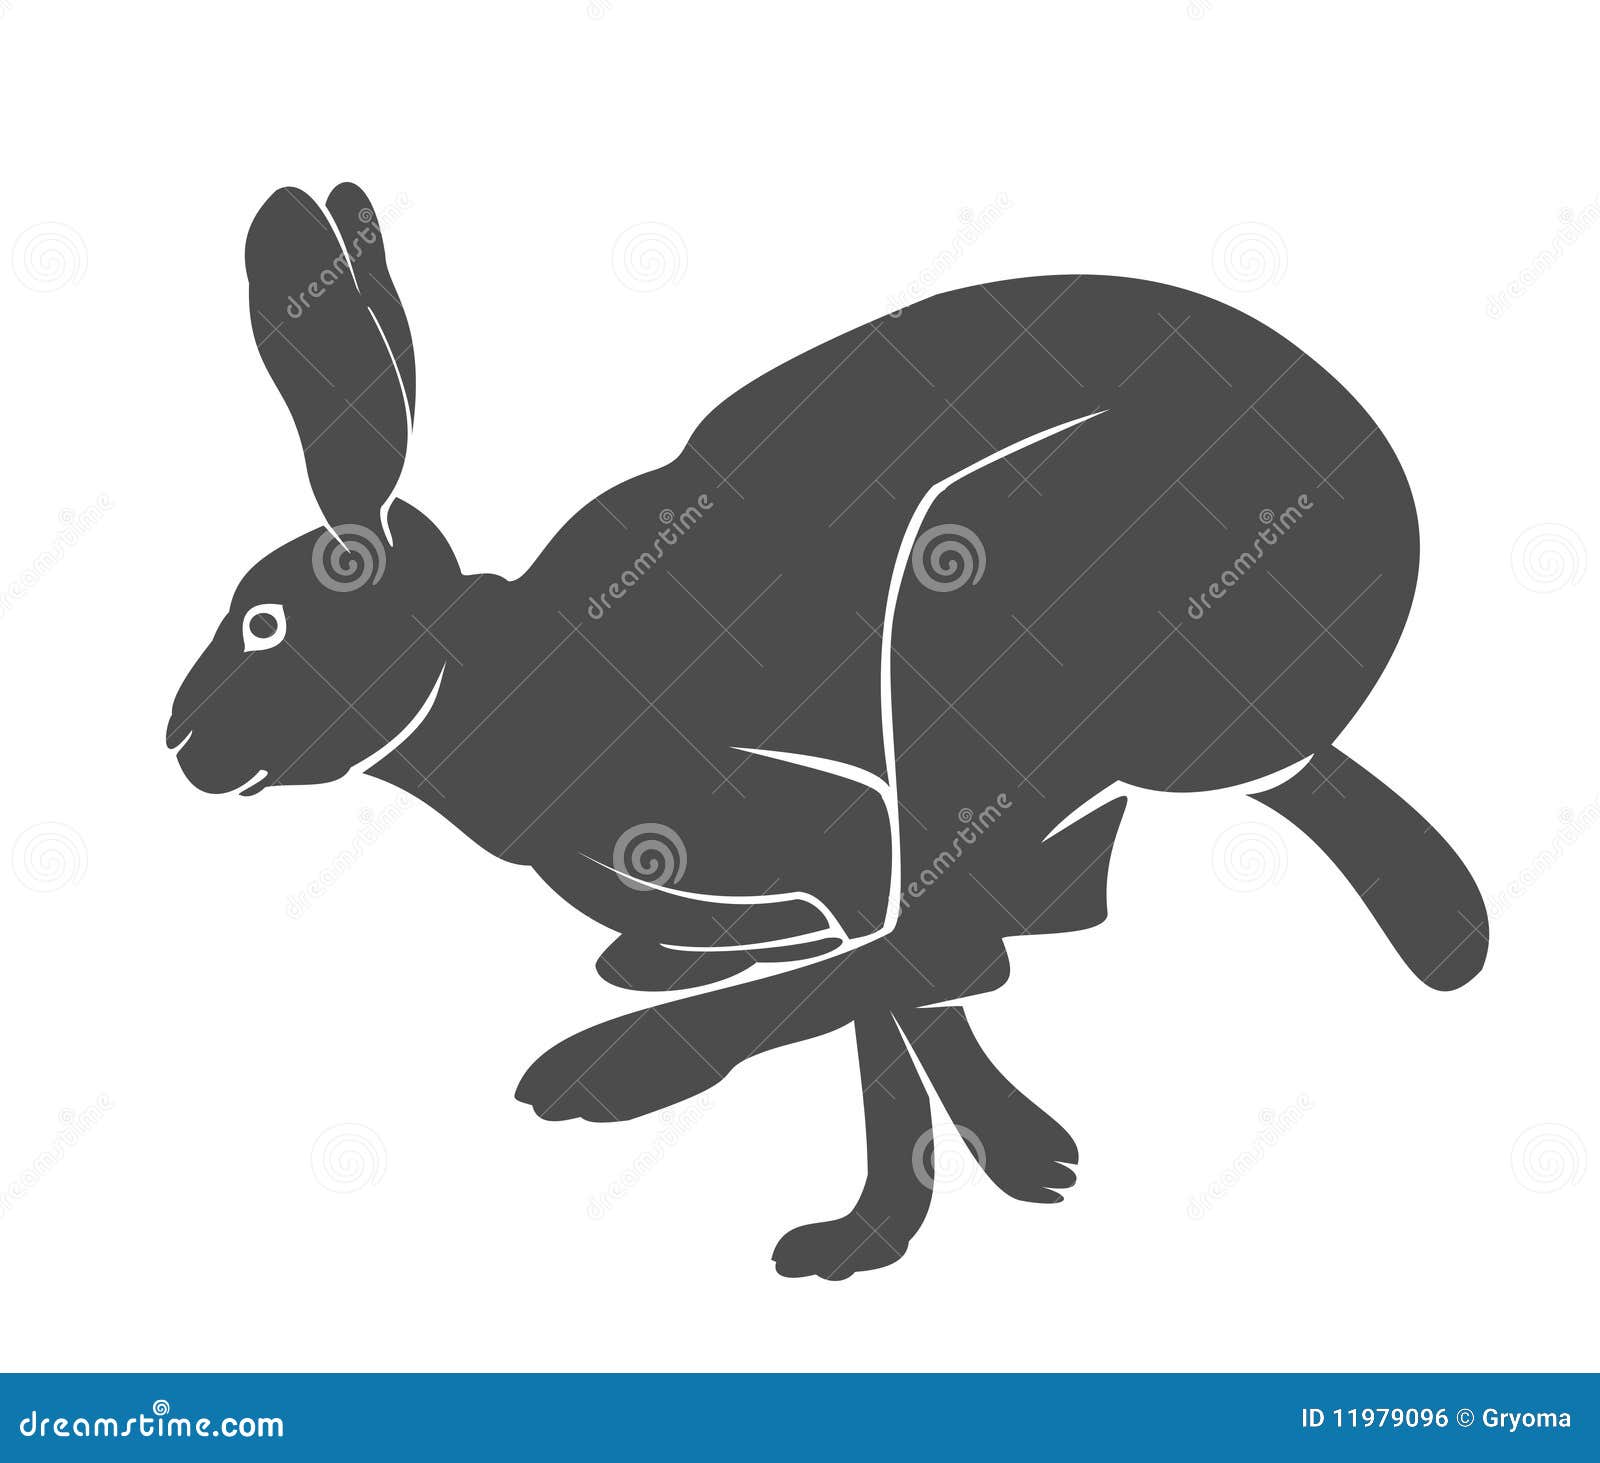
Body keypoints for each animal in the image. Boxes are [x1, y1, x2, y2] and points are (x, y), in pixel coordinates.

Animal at [168, 183, 1489, 1279]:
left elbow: (898, 1003)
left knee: (966, 935)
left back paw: (612, 1065)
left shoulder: (845, 828)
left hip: (987, 621)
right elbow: (905, 1010)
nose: (180, 745)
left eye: (267, 624)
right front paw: (1006, 1163)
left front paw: (877, 1223)